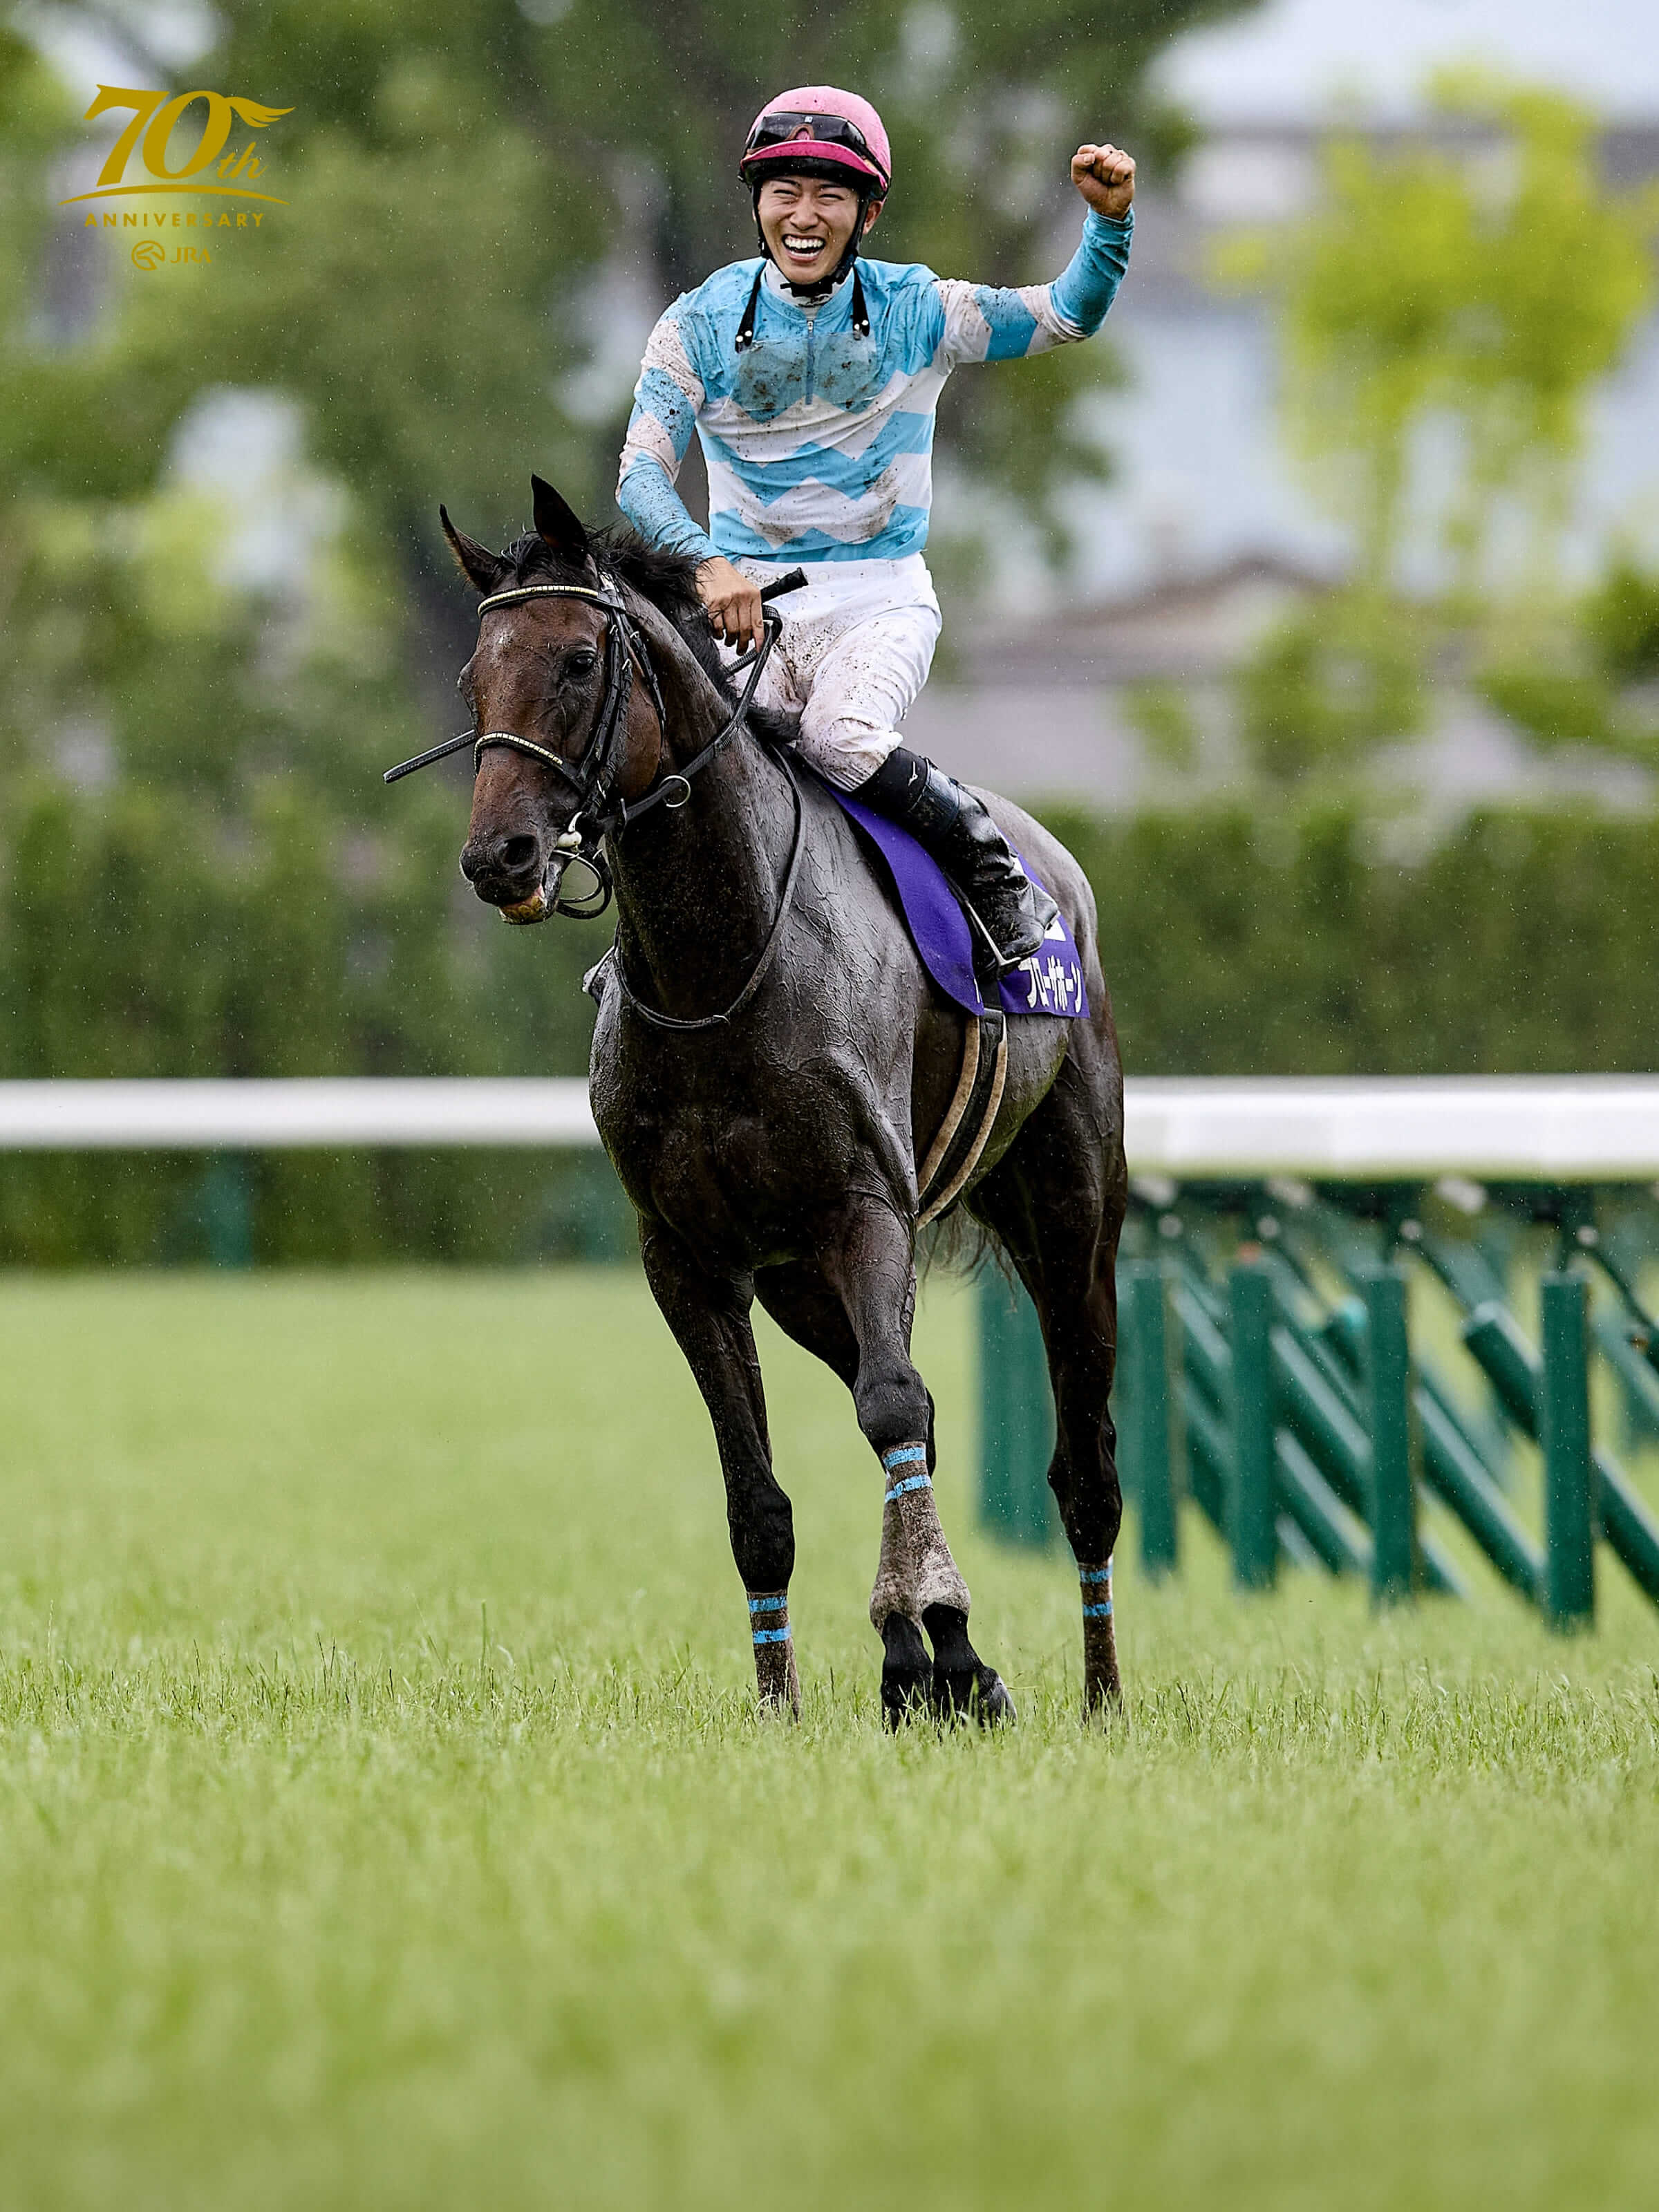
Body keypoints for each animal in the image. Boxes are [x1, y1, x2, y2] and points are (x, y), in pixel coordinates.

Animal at [420, 474, 1128, 1723]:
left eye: (579, 661)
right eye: (474, 679)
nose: (500, 858)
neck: (721, 964)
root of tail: (1061, 871)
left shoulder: (865, 1207)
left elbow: (894, 1407)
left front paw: (928, 1648)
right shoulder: (690, 1255)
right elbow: (759, 1493)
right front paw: (795, 1697)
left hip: (1070, 1219)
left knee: (1079, 1460)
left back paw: (1093, 1694)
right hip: (804, 1284)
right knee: (917, 1416)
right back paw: (936, 1658)